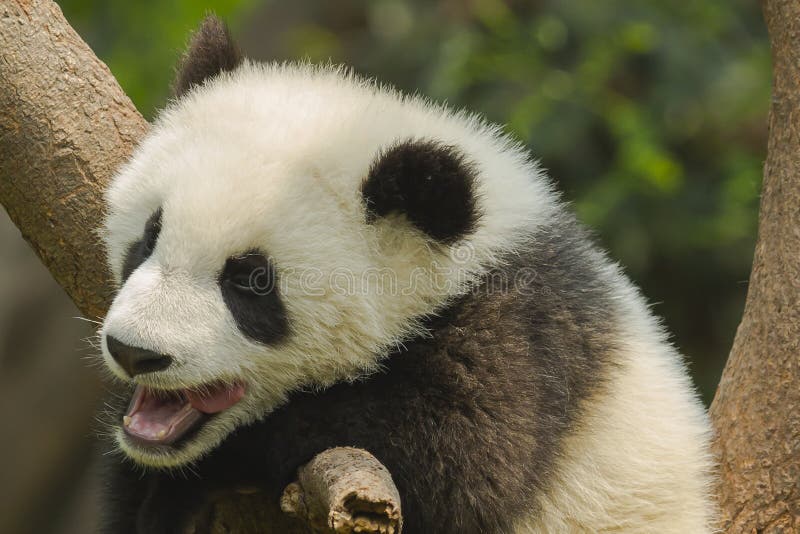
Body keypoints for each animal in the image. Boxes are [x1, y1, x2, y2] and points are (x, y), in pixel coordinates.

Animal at [97, 16, 715, 534]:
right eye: (149, 236)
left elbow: (461, 463)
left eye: (252, 281)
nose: (135, 352)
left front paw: (205, 476)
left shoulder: (520, 339)